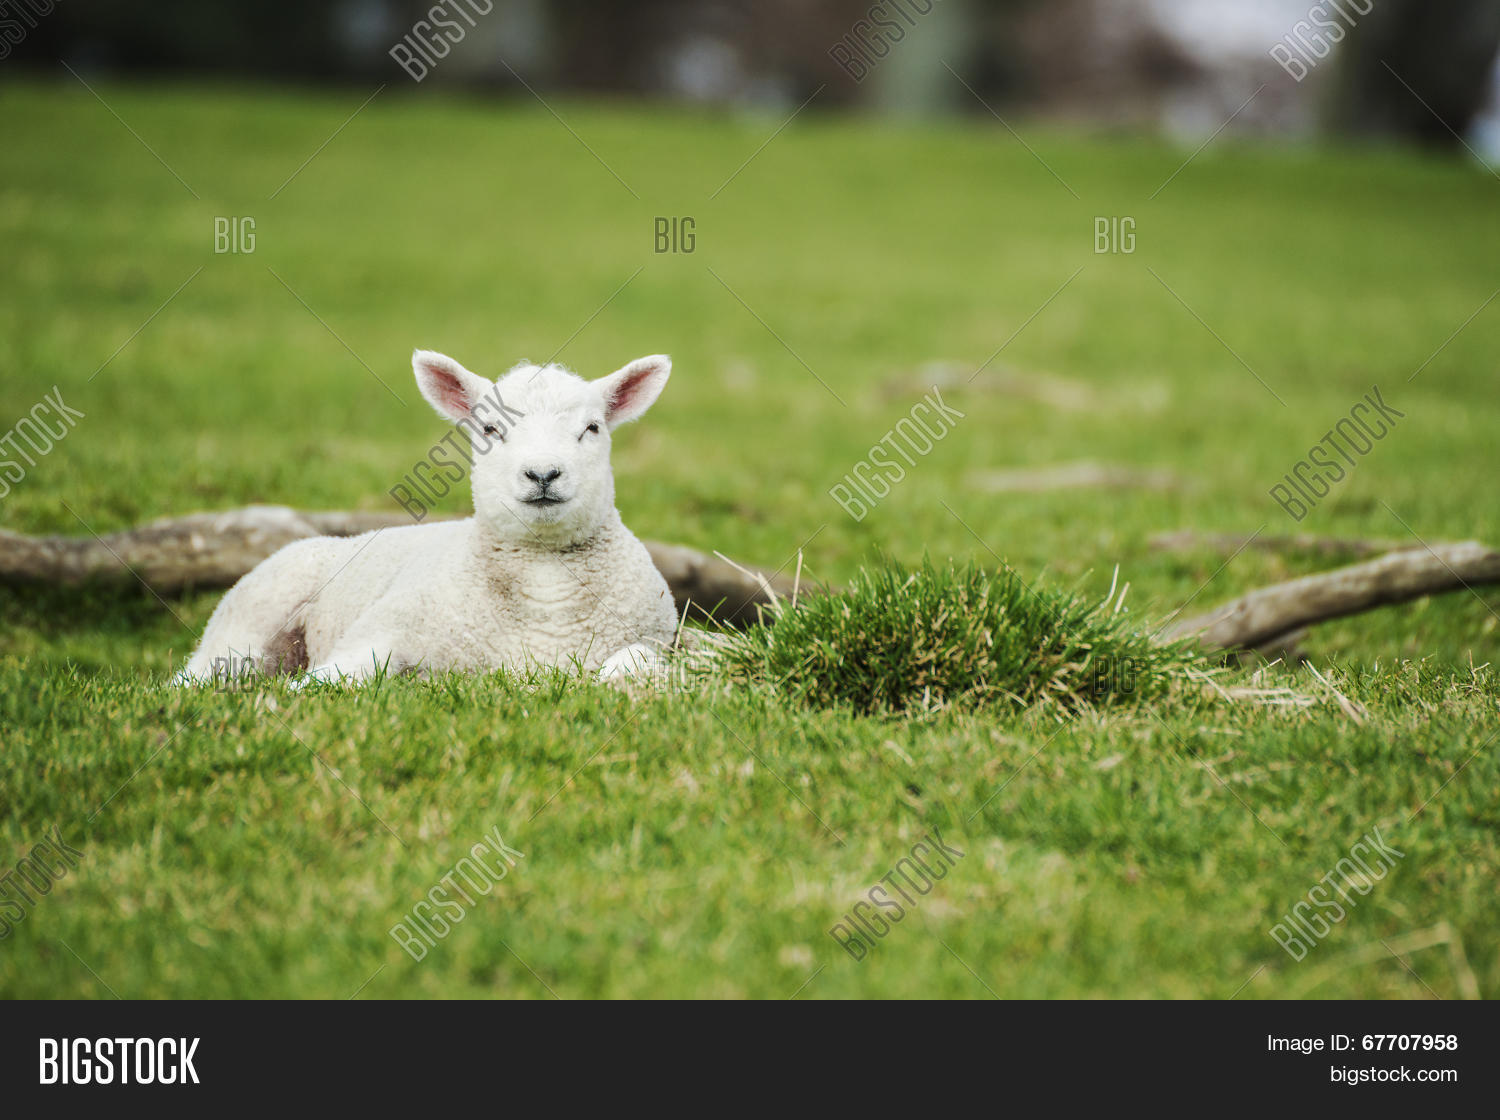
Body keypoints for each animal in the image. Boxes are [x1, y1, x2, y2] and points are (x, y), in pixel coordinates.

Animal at [173, 349, 678, 686]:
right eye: (489, 428)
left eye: (592, 428)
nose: (542, 473)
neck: (544, 584)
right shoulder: (381, 630)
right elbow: (335, 676)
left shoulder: (656, 640)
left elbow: (633, 661)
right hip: (247, 621)